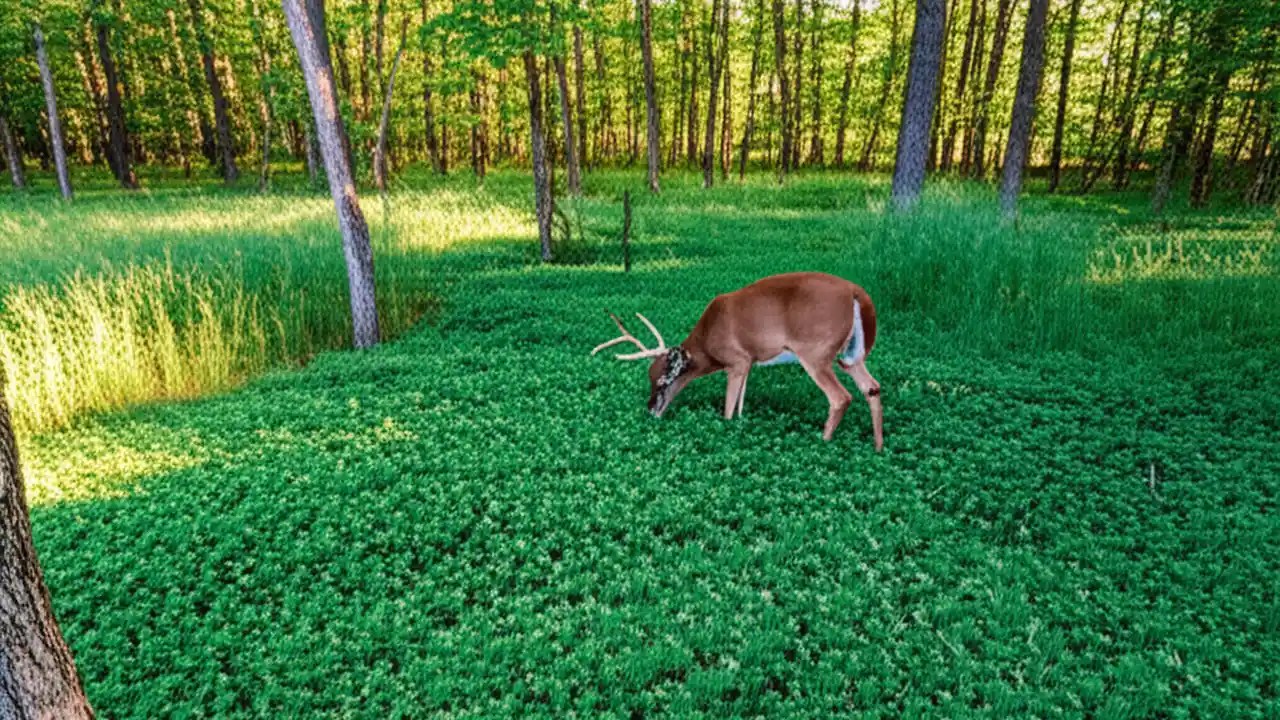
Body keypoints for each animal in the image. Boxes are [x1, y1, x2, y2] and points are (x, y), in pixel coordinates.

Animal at [591, 272, 883, 450]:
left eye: (662, 379)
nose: (651, 409)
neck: (707, 340)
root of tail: (858, 293)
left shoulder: (737, 360)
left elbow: (728, 409)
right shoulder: (750, 361)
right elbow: (741, 404)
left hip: (816, 351)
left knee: (841, 397)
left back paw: (823, 441)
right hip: (851, 356)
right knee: (872, 387)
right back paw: (878, 447)